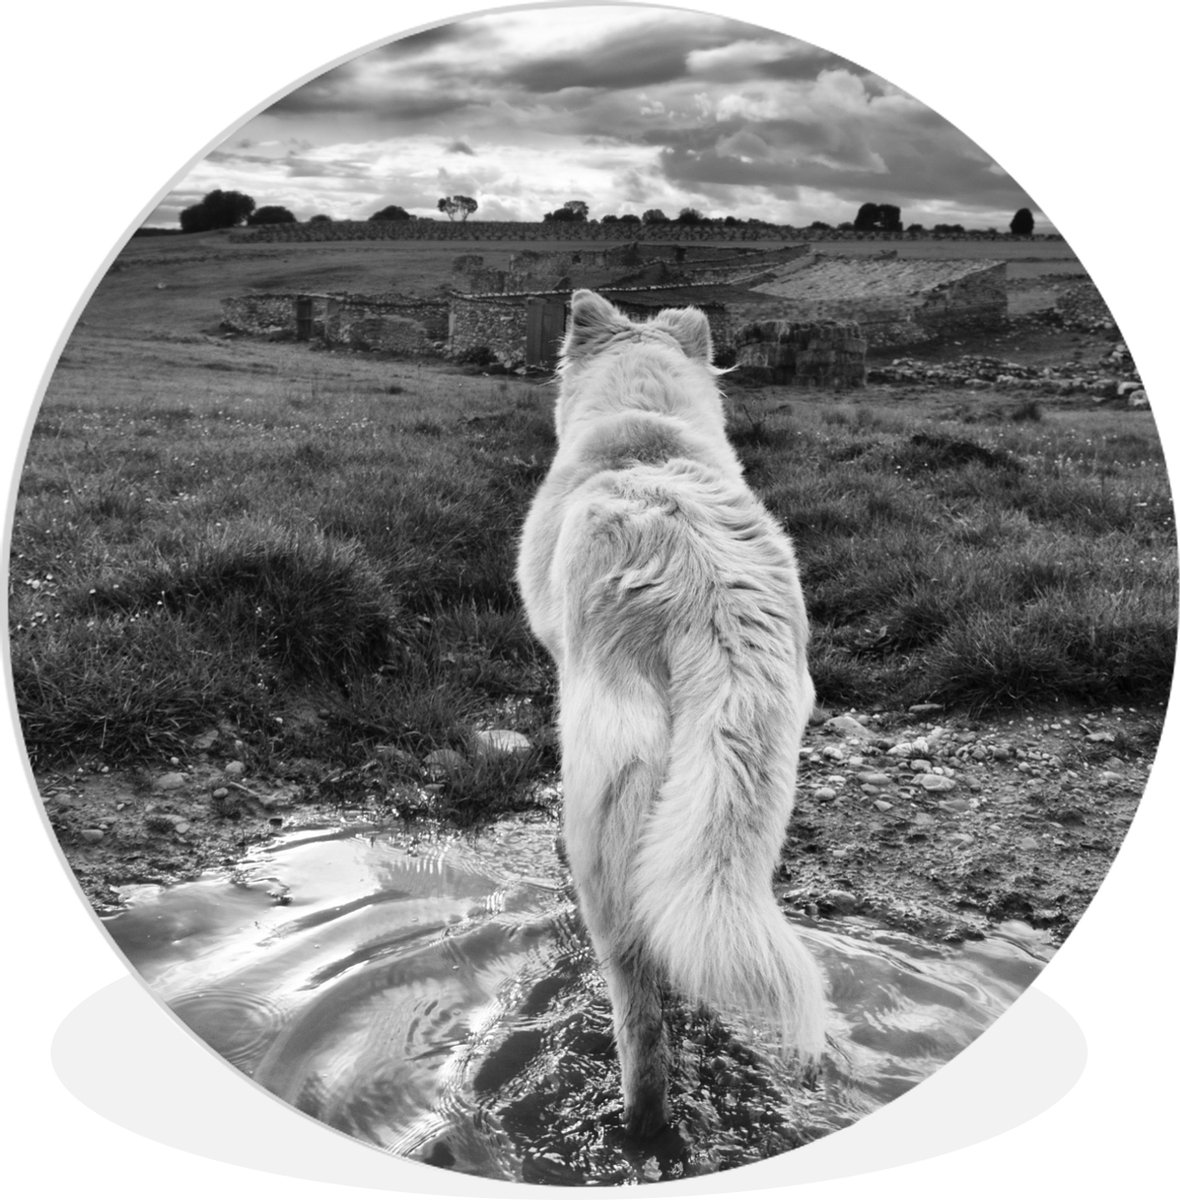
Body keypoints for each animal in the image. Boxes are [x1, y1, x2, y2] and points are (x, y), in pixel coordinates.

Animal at [516, 290, 826, 1138]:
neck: (645, 432)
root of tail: (705, 590)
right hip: (745, 794)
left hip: (607, 802)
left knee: (638, 1001)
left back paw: (643, 1126)